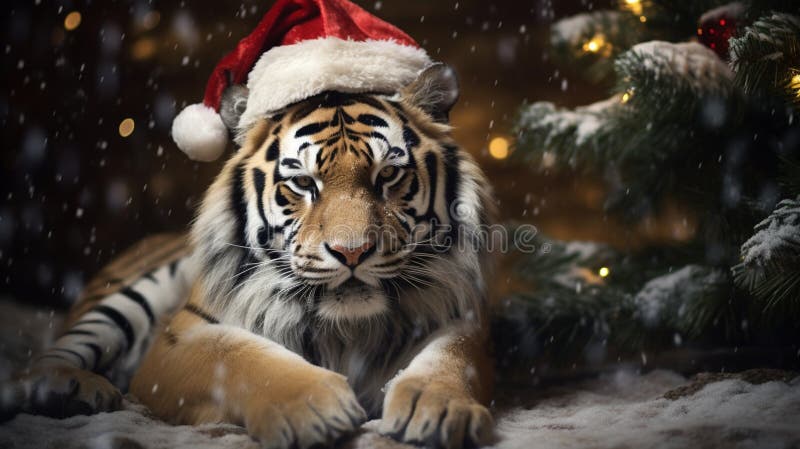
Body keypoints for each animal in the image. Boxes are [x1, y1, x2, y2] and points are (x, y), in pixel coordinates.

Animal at [5, 63, 496, 449]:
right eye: (303, 183)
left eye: (389, 175)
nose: (351, 252)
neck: (347, 331)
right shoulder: (178, 338)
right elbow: (241, 354)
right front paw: (315, 405)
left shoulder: (463, 314)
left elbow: (451, 356)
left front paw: (437, 409)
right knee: (38, 364)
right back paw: (70, 389)